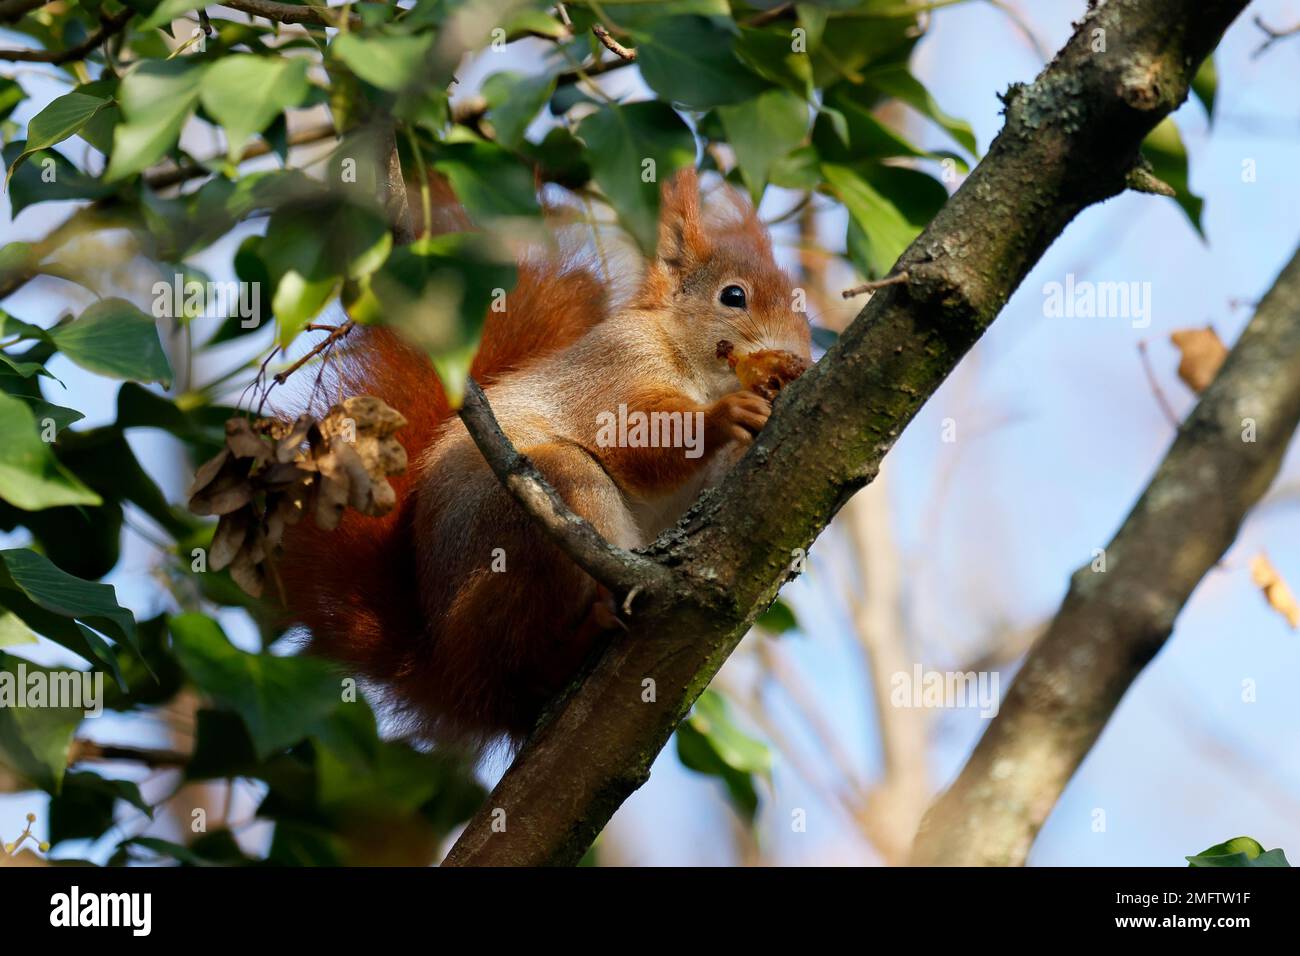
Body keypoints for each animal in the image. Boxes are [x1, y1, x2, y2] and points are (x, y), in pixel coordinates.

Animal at [277, 168, 812, 747]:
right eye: (733, 296)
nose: (798, 356)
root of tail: (446, 667)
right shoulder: (613, 368)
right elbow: (635, 438)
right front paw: (726, 414)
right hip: (542, 509)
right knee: (520, 666)